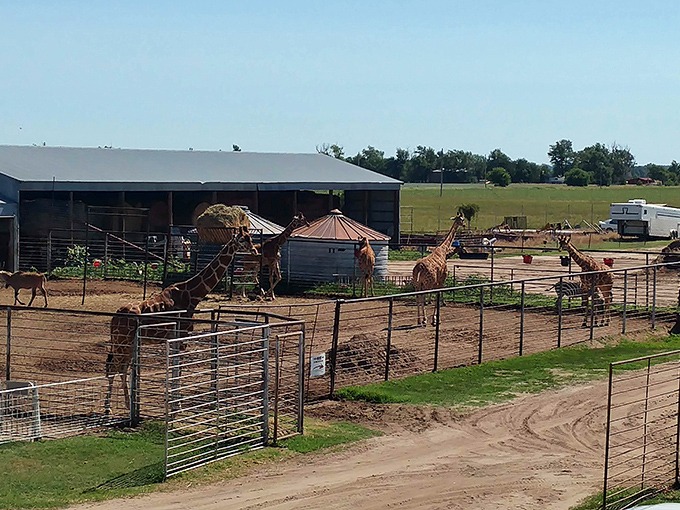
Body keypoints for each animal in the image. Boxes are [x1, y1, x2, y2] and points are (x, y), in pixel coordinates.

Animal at [104, 226, 256, 413]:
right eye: (242, 240)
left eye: (250, 238)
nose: (254, 250)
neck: (193, 293)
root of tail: (114, 317)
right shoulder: (183, 335)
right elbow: (178, 368)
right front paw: (178, 405)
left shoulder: (176, 338)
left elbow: (175, 367)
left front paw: (174, 404)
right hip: (122, 341)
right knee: (114, 367)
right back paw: (110, 408)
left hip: (128, 343)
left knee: (121, 367)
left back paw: (126, 404)